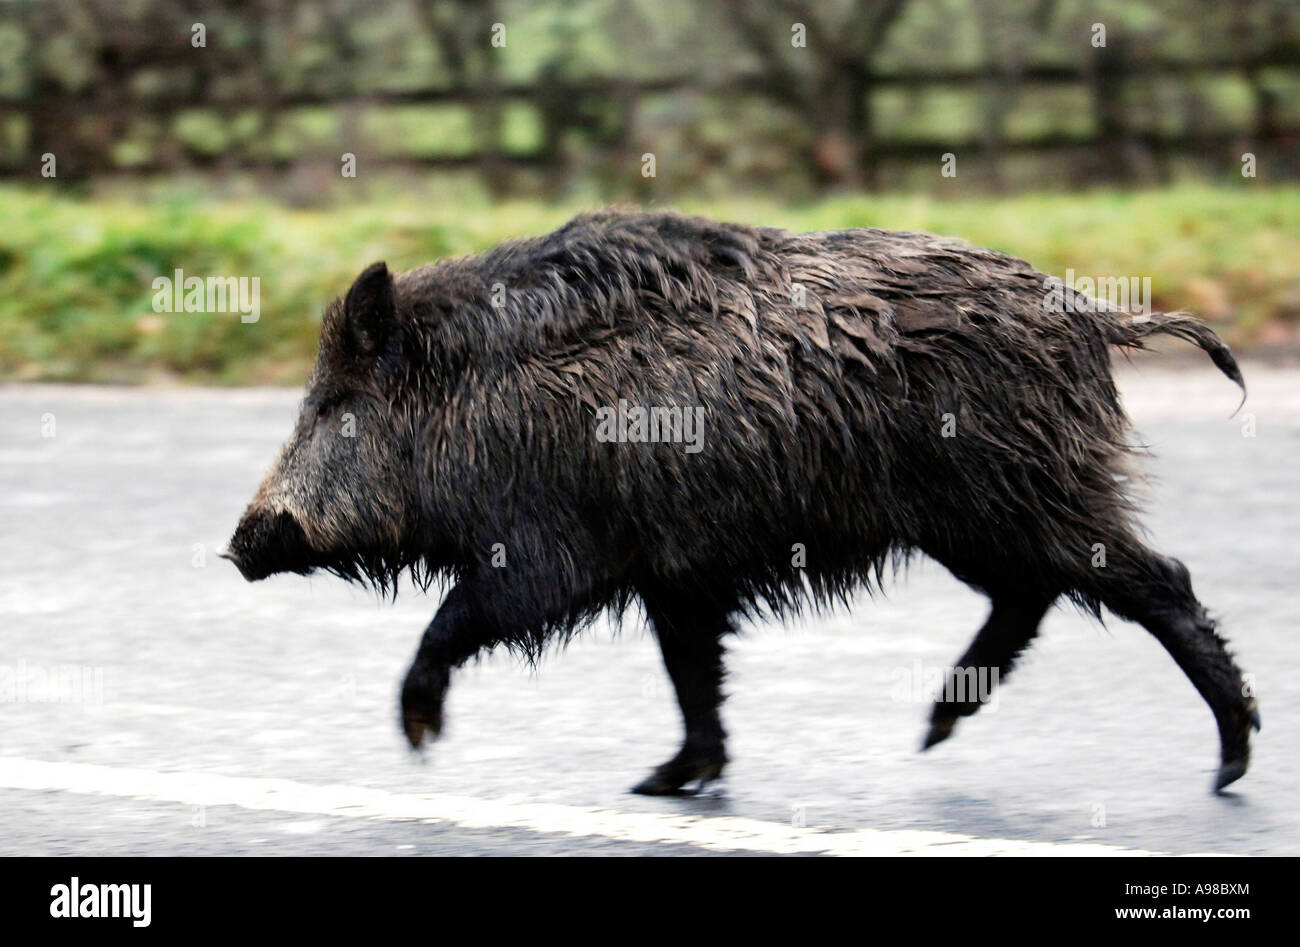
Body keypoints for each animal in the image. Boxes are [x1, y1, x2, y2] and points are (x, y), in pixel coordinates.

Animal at [223, 210, 1258, 795]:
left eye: (337, 405)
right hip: (982, 520)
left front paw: (418, 735)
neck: (476, 399)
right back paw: (931, 732)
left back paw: (1230, 763)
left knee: (1158, 579)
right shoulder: (677, 573)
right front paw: (666, 783)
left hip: (1023, 496)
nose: (239, 545)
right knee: (1034, 595)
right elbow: (692, 674)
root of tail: (1090, 313)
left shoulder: (555, 552)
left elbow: (459, 618)